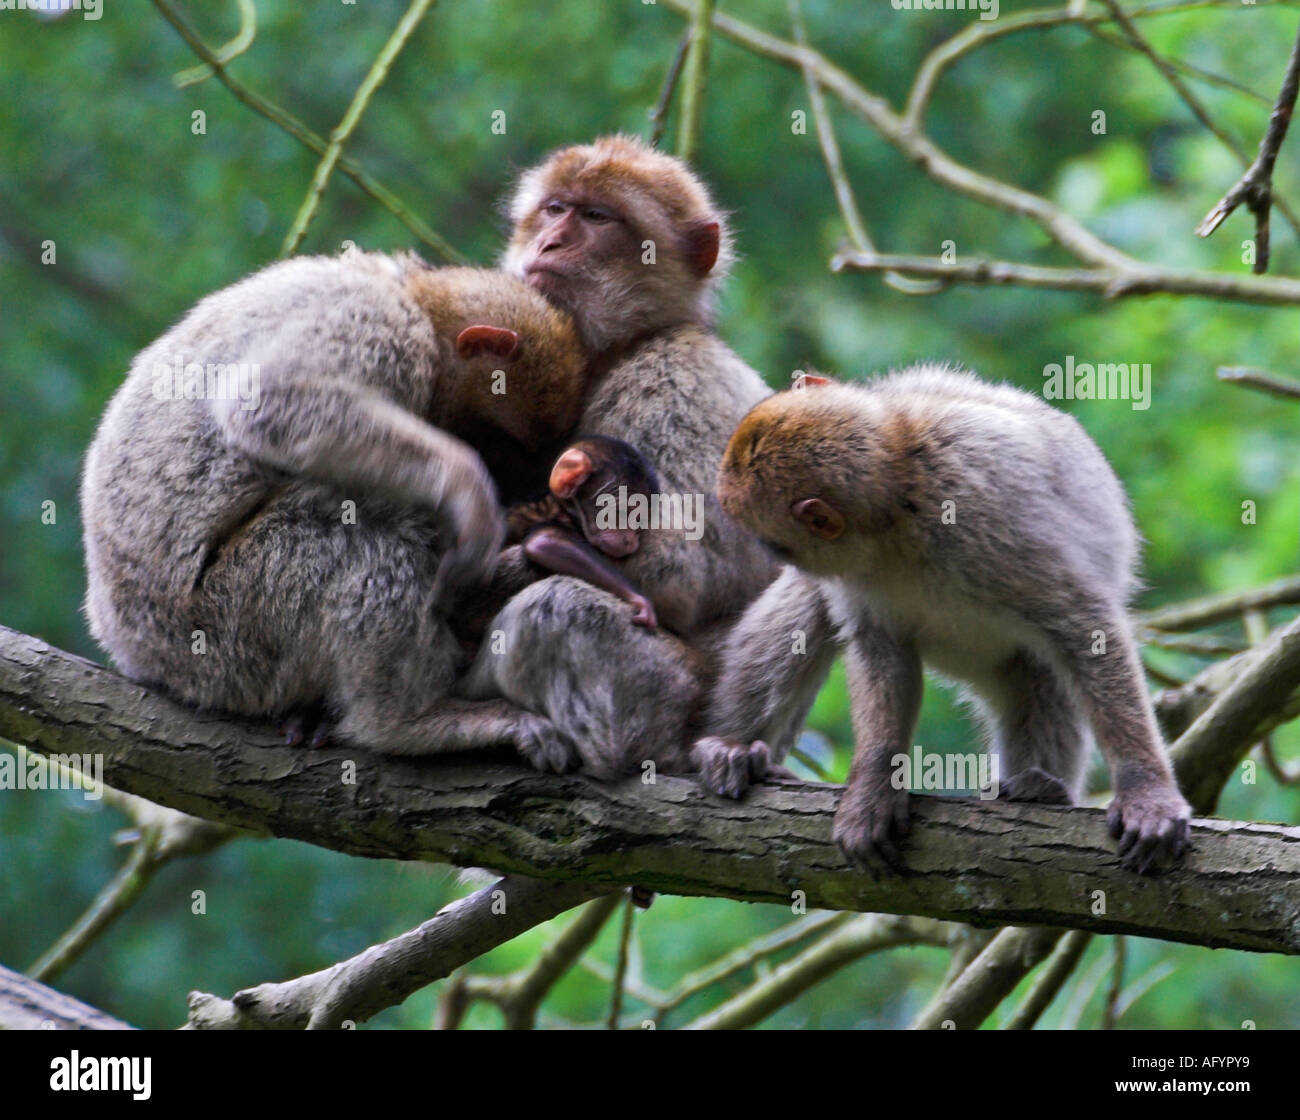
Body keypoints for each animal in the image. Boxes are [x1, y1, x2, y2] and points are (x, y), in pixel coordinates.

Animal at [82, 251, 590, 770]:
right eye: (503, 447)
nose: (517, 488)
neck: (414, 299)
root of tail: (133, 653)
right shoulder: (385, 333)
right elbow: (272, 403)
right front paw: (470, 494)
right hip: (221, 630)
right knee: (367, 525)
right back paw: (407, 723)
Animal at [459, 134, 781, 780]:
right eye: (556, 209)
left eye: (597, 217)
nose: (551, 241)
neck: (624, 343)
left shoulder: (672, 380)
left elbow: (680, 575)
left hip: (660, 695)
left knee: (559, 607)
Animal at [695, 365, 1192, 875]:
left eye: (772, 543)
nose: (774, 557)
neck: (898, 505)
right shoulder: (853, 574)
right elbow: (881, 649)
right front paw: (874, 785)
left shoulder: (986, 511)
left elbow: (1083, 622)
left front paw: (1147, 792)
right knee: (806, 604)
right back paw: (735, 750)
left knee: (1045, 675)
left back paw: (1041, 788)